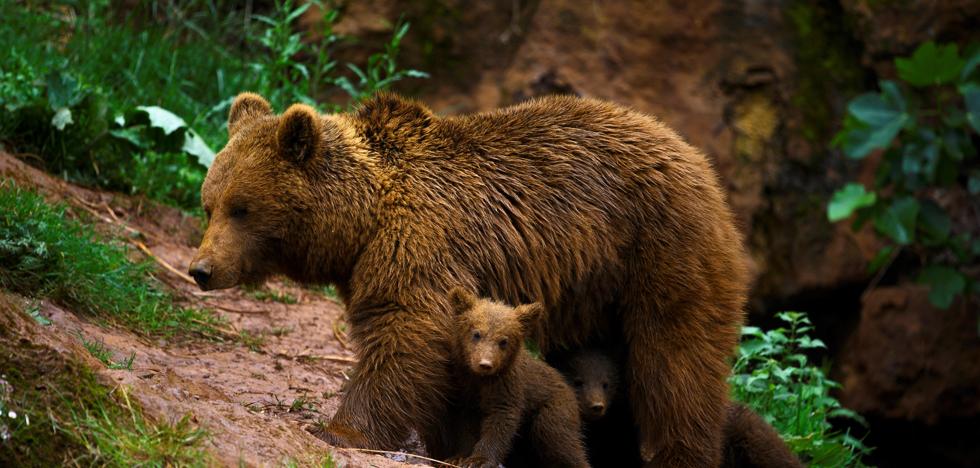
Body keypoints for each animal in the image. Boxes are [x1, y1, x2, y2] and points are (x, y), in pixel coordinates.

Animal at [446, 287, 589, 468]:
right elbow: (465, 425)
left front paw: (479, 459)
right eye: (476, 333)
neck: (481, 380)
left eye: (503, 341)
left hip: (554, 409)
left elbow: (501, 421)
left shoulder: (507, 386)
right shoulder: (464, 389)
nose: (485, 364)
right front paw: (457, 457)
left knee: (560, 441)